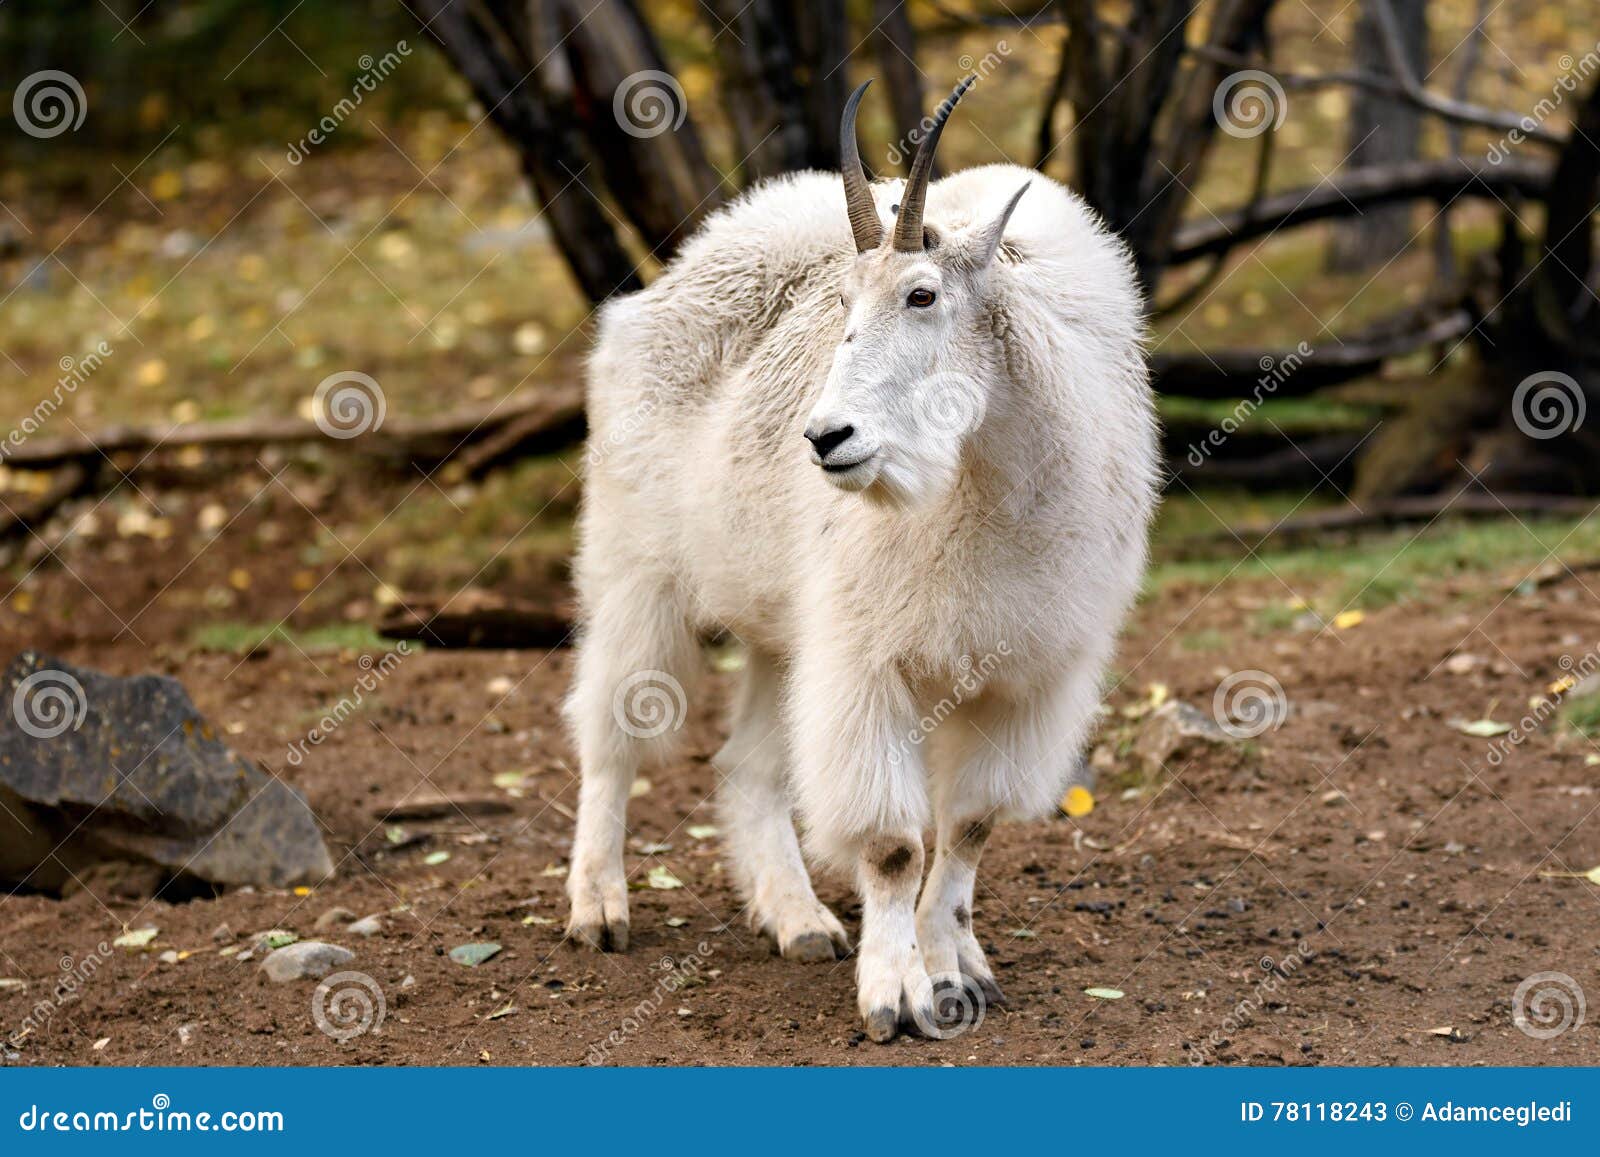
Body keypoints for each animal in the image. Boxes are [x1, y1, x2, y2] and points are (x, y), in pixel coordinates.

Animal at [564, 76, 1158, 1042]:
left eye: (922, 295)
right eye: (841, 304)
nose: (825, 437)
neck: (985, 484)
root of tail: (655, 293)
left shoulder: (1025, 675)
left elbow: (969, 827)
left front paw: (957, 967)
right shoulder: (868, 663)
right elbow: (892, 844)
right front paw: (897, 993)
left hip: (780, 630)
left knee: (747, 765)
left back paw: (798, 919)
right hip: (637, 572)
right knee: (612, 730)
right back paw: (598, 906)